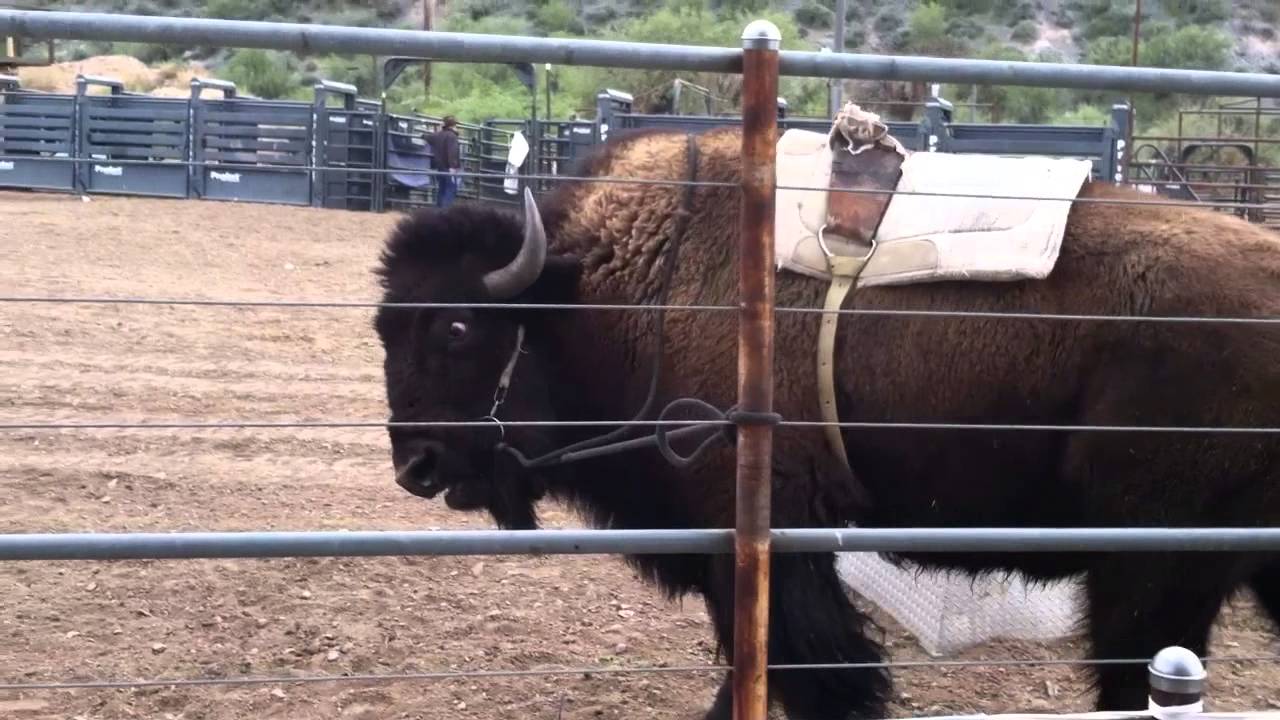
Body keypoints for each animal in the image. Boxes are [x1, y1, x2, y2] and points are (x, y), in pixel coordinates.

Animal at [373, 126, 1280, 720]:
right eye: (385, 327)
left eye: (456, 326)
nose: (416, 467)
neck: (600, 287)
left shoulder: (759, 532)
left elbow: (811, 669)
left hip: (1149, 568)